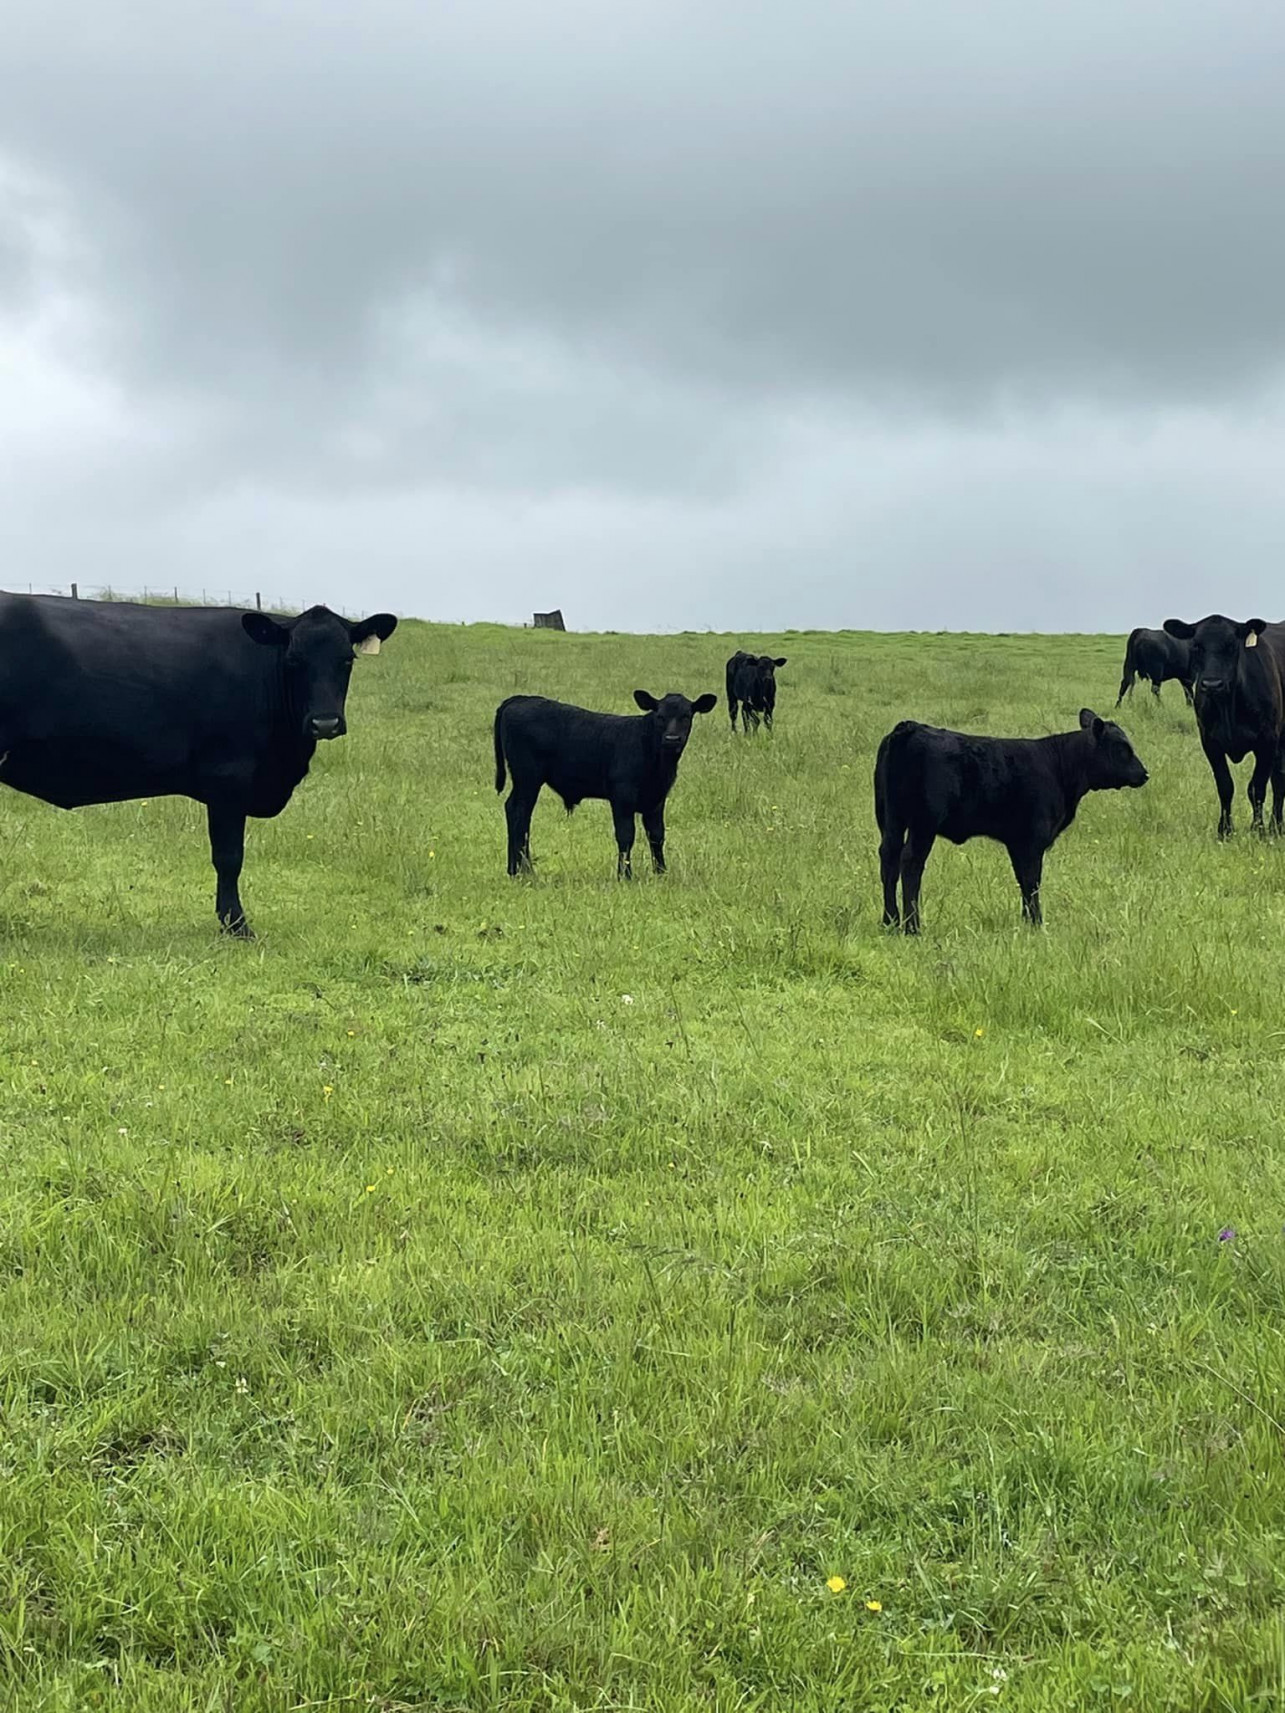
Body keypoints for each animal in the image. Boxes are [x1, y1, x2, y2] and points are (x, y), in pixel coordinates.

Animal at [0, 594, 397, 935]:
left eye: (347, 660)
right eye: (292, 661)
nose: (325, 723)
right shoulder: (228, 777)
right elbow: (229, 856)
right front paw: (237, 926)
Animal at [494, 689, 717, 878]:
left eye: (686, 716)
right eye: (660, 716)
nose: (672, 738)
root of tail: (521, 699)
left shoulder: (657, 800)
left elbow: (657, 835)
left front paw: (661, 873)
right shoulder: (622, 797)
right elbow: (626, 835)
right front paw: (625, 875)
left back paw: (514, 870)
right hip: (528, 778)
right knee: (519, 813)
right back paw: (524, 871)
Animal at [875, 709, 1148, 933]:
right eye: (1122, 748)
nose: (1145, 774)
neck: (1059, 766)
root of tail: (909, 727)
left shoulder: (1017, 842)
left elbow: (1023, 881)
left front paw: (1027, 921)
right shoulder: (1033, 840)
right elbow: (1032, 881)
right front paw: (1037, 923)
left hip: (891, 820)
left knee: (889, 858)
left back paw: (890, 921)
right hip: (923, 824)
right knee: (910, 862)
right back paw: (912, 927)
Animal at [1163, 614, 1285, 838]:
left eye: (1231, 646)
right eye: (1196, 646)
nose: (1212, 684)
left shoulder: (1267, 741)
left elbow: (1257, 787)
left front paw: (1258, 829)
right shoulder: (1210, 743)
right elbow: (1225, 786)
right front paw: (1225, 830)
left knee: (1279, 781)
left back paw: (1276, 826)